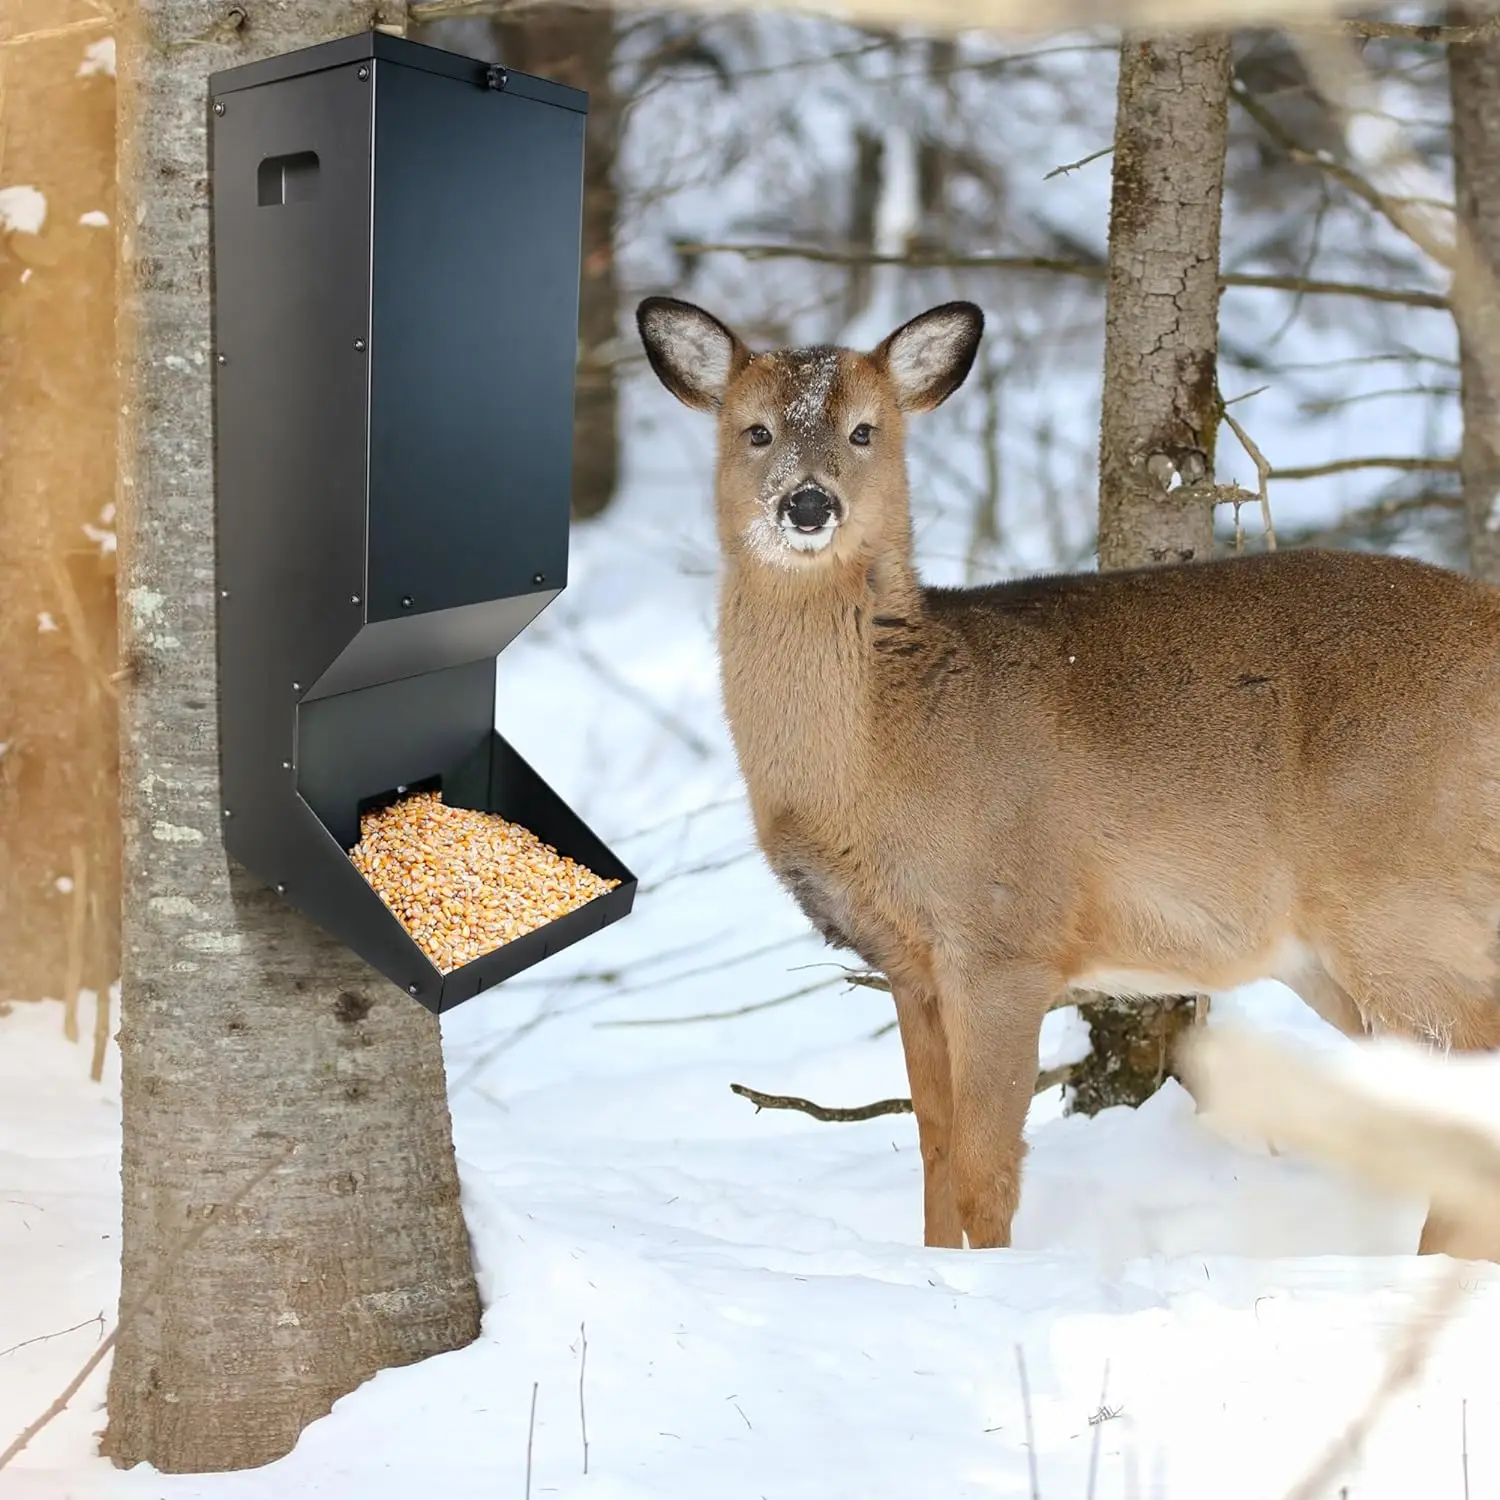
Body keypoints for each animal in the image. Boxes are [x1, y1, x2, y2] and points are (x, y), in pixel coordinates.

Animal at [636, 293, 1500, 1260]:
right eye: (753, 429)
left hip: (1406, 903)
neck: (886, 749)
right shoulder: (911, 965)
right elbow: (934, 1152)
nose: (809, 502)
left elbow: (986, 1171)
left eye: (865, 429)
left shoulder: (1006, 936)